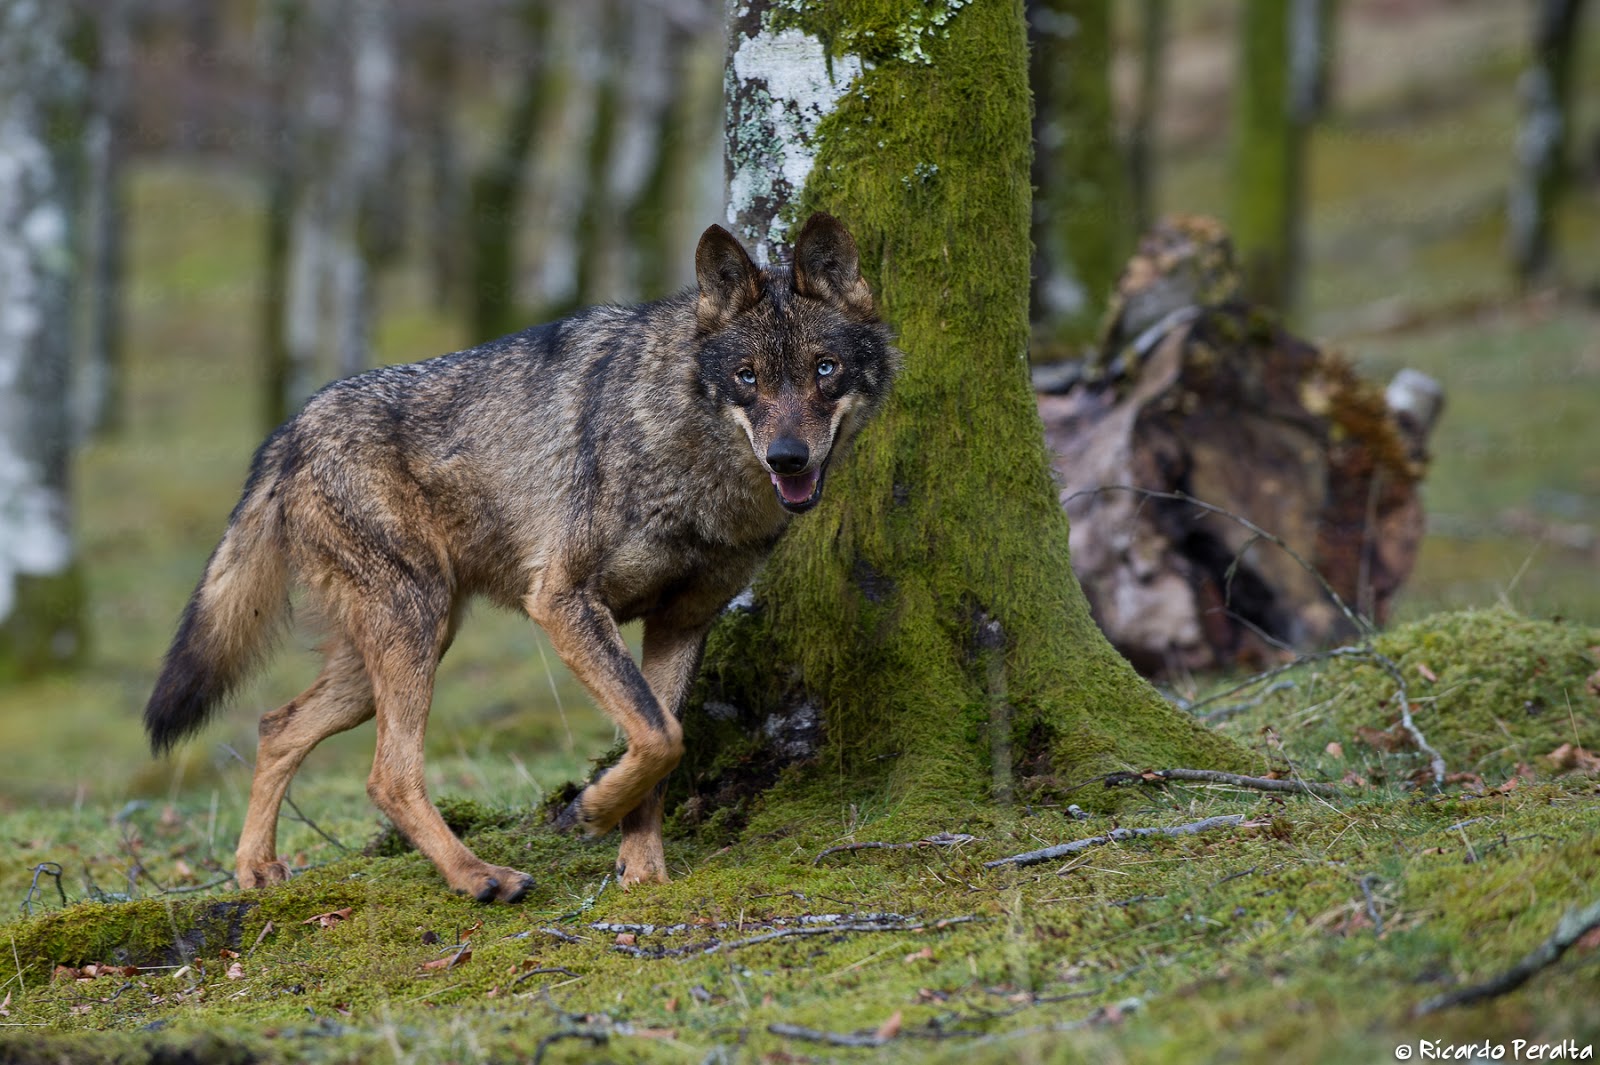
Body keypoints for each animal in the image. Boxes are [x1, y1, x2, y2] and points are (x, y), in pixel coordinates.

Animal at [143, 213, 896, 901]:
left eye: (824, 370)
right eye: (746, 378)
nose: (788, 458)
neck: (690, 456)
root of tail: (293, 425)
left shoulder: (682, 623)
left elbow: (665, 740)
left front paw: (641, 868)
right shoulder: (561, 599)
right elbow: (659, 736)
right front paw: (593, 809)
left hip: (391, 655)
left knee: (277, 726)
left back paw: (255, 869)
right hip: (414, 632)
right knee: (387, 776)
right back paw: (479, 877)